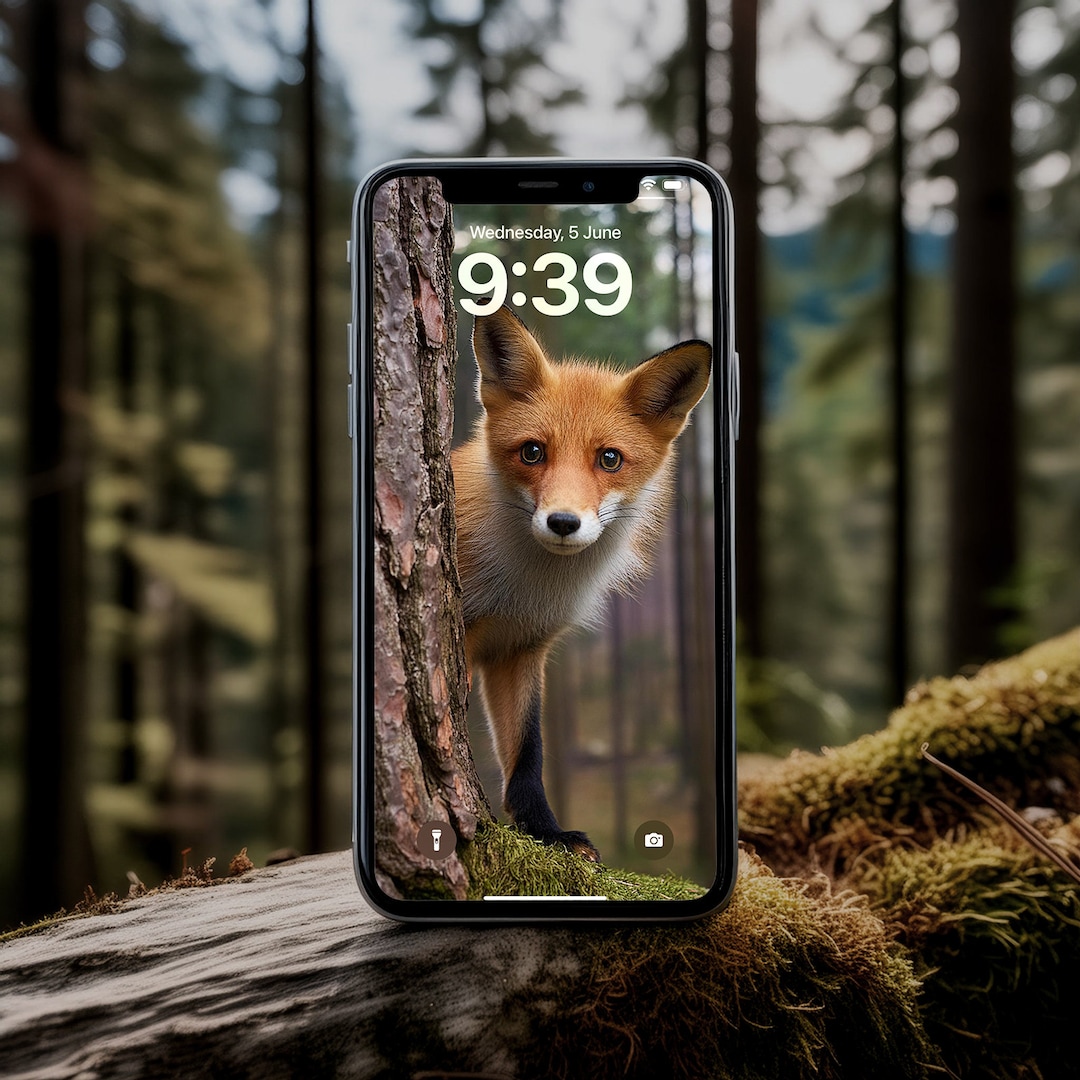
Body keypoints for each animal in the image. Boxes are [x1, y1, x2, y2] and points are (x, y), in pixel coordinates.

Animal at [451, 305, 711, 861]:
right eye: (532, 452)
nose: (563, 523)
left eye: (609, 458)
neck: (524, 588)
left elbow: (528, 753)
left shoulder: (521, 649)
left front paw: (546, 833)